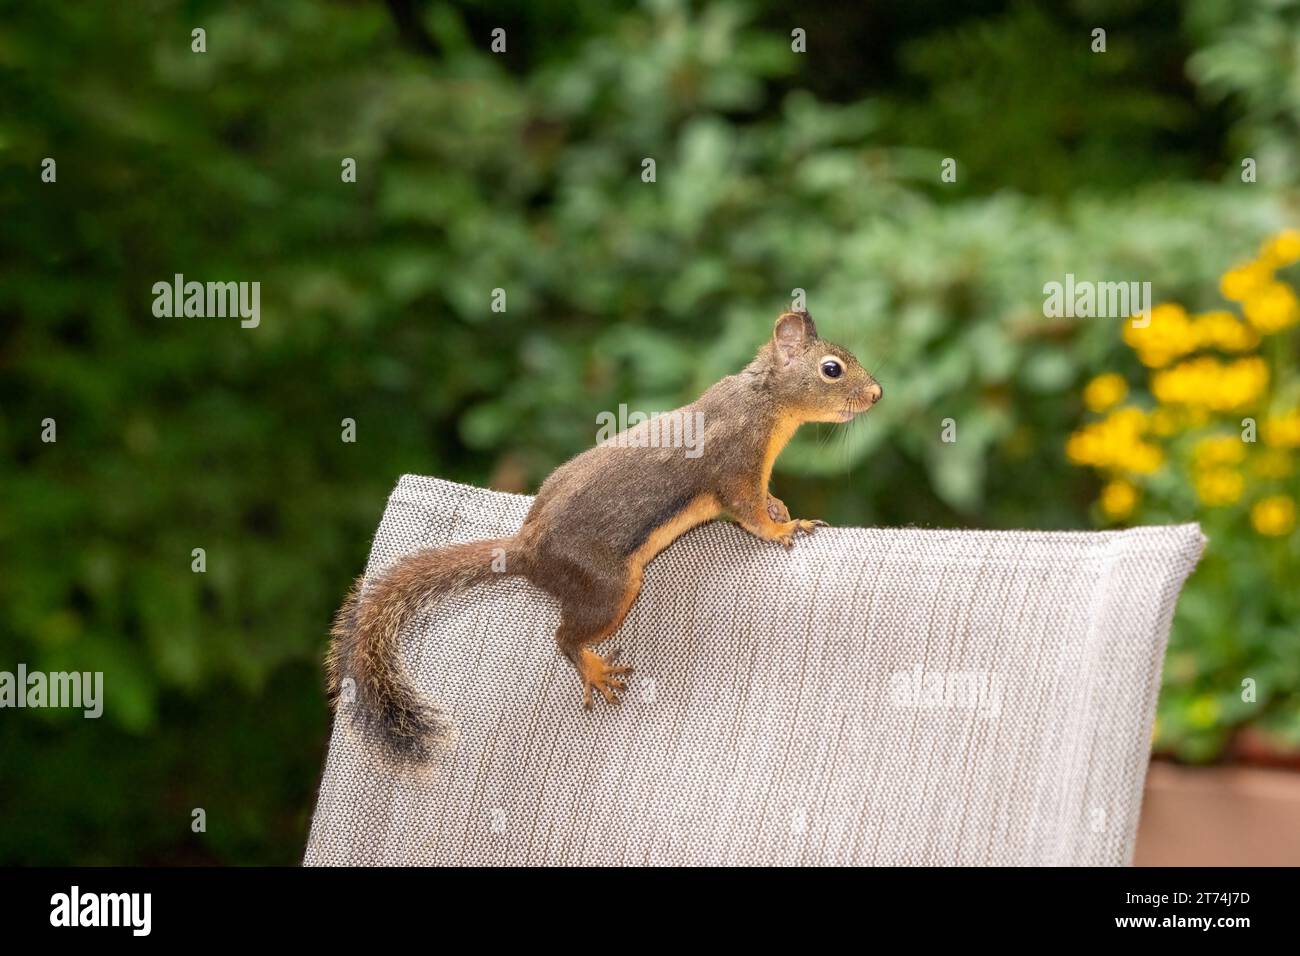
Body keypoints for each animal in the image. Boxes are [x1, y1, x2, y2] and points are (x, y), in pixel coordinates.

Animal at [326, 310, 882, 759]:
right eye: (832, 368)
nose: (876, 393)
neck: (764, 401)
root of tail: (525, 551)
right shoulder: (735, 465)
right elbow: (748, 513)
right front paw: (786, 526)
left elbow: (762, 500)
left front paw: (781, 505)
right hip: (611, 584)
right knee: (564, 636)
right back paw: (592, 668)